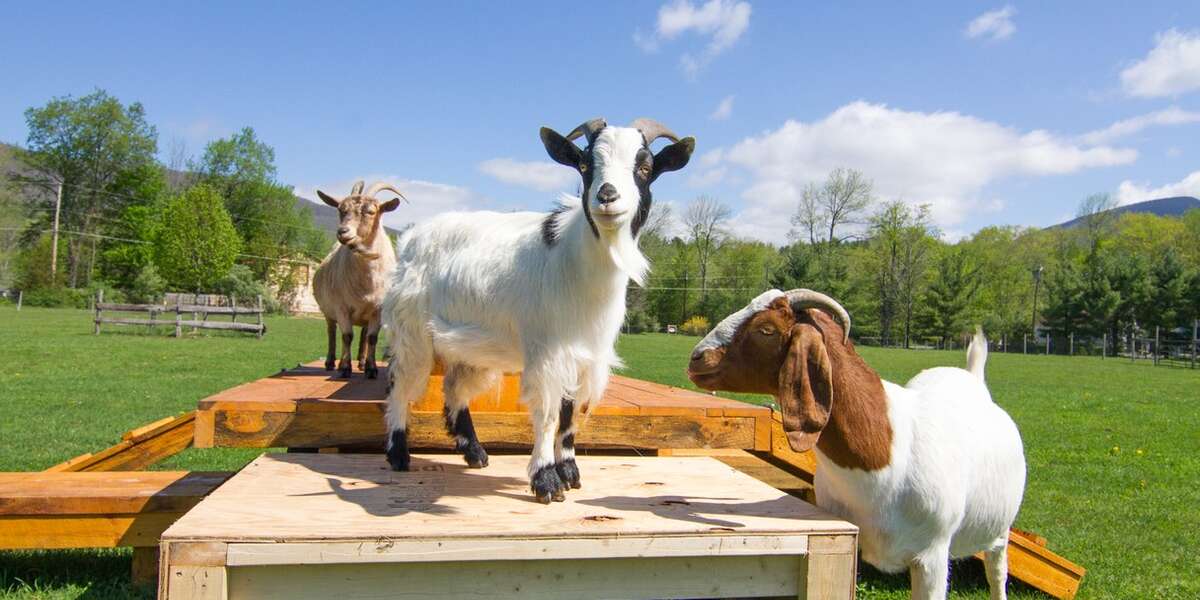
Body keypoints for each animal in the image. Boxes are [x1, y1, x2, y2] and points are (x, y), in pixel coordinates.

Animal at [312, 180, 405, 379]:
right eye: (341, 210)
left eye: (370, 211)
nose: (343, 232)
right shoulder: (341, 307)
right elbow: (347, 336)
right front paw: (346, 368)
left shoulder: (377, 309)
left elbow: (372, 338)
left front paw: (371, 369)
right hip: (327, 310)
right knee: (332, 332)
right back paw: (332, 363)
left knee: (363, 334)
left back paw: (361, 363)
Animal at [382, 118, 695, 502]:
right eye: (585, 165)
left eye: (645, 167)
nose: (607, 196)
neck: (576, 264)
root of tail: (411, 238)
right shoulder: (548, 351)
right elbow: (547, 415)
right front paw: (546, 480)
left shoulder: (586, 356)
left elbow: (571, 416)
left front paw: (570, 472)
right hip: (411, 332)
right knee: (400, 386)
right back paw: (399, 455)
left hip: (471, 347)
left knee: (454, 389)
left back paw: (475, 452)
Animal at [688, 290, 1025, 600]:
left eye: (766, 329)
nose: (696, 358)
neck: (889, 456)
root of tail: (973, 379)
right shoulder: (851, 536)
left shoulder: (932, 556)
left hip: (999, 533)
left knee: (997, 572)